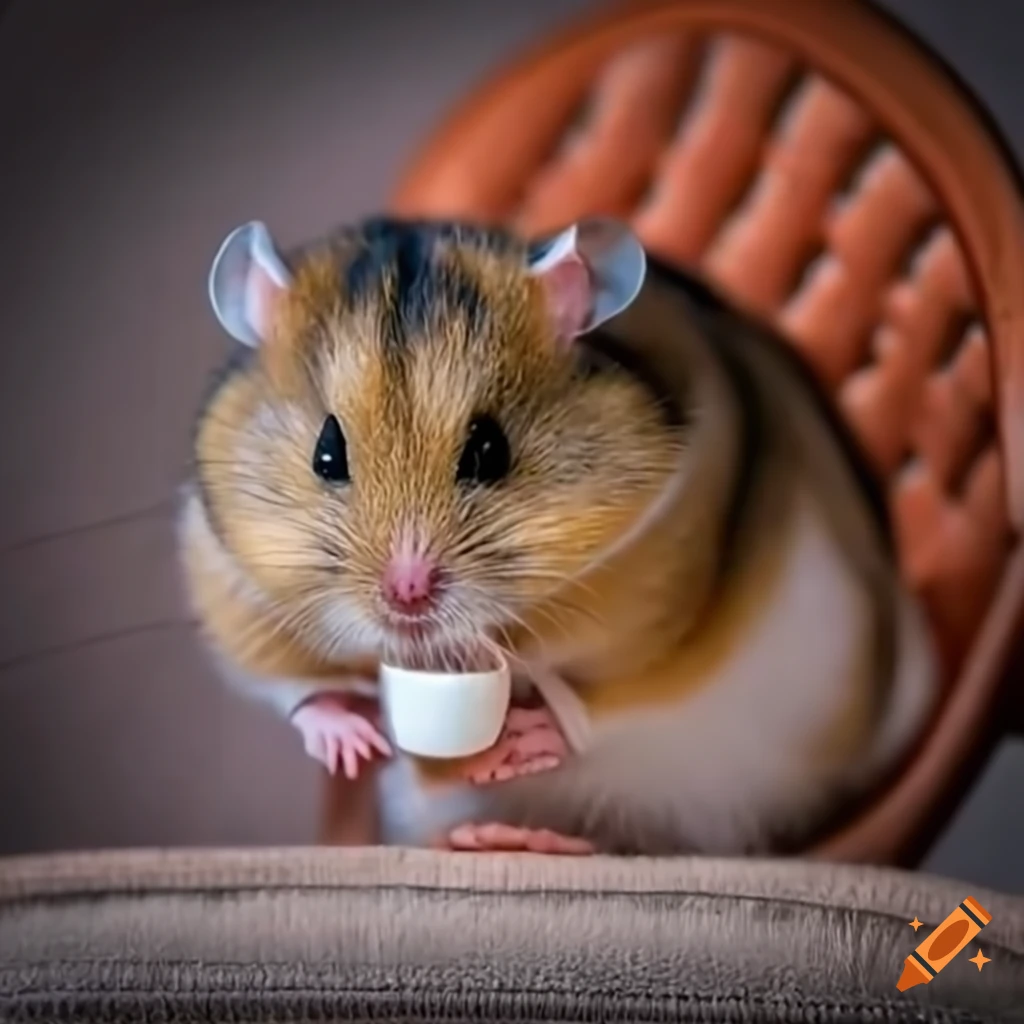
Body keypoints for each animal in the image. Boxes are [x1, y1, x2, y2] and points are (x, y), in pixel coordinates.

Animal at [179, 213, 938, 856]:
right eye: (327, 452)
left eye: (489, 450)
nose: (407, 594)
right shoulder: (234, 591)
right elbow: (291, 685)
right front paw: (356, 741)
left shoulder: (662, 611)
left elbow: (607, 700)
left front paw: (527, 733)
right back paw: (489, 834)